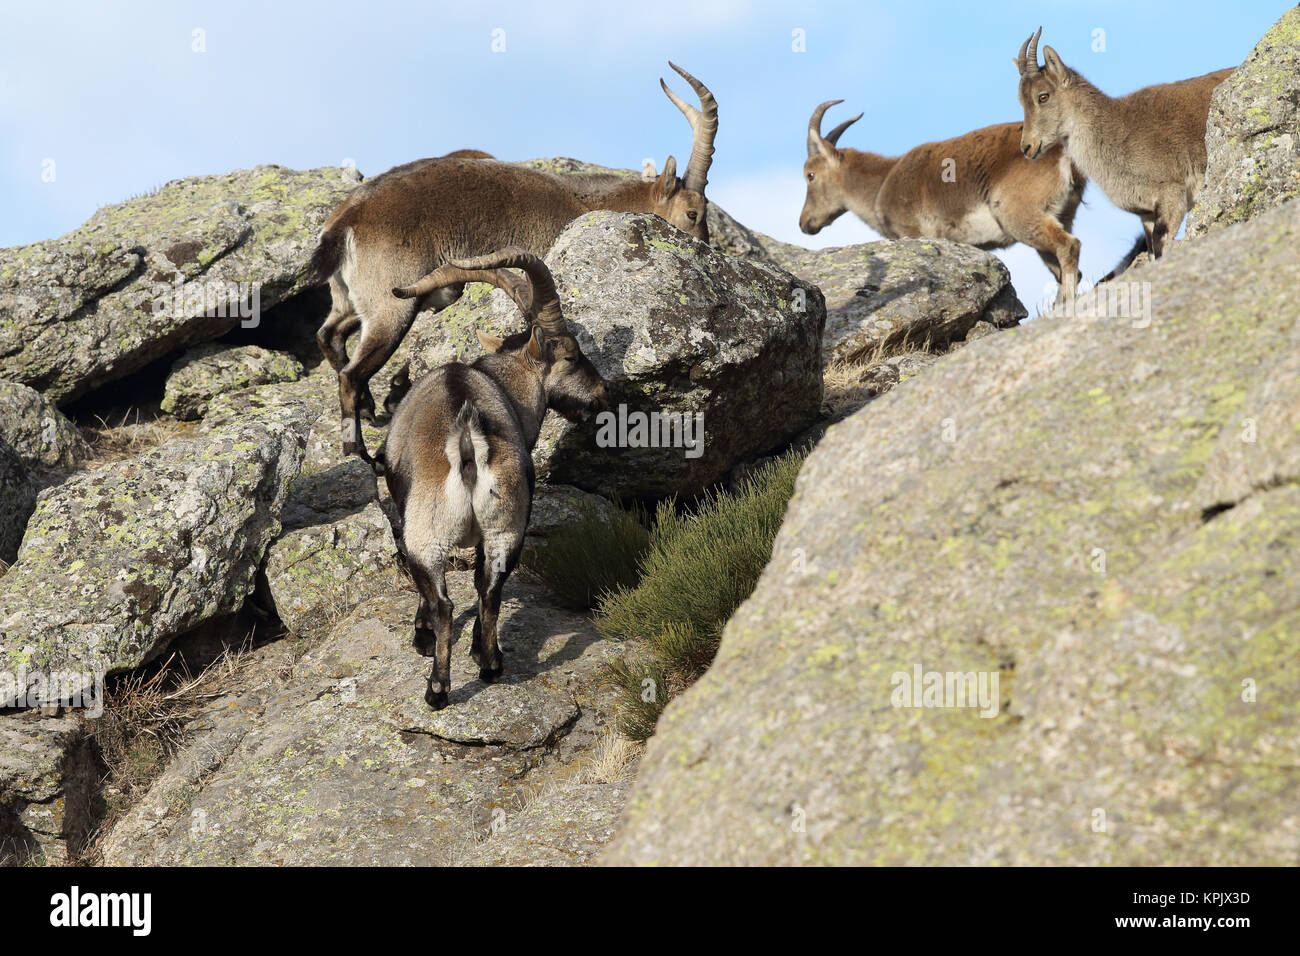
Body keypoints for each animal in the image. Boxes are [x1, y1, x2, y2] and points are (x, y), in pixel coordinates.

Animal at [308, 62, 716, 463]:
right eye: (693, 213)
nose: (708, 250)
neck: (584, 202)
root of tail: (347, 219)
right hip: (391, 307)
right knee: (351, 373)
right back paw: (357, 450)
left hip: (352, 299)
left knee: (329, 335)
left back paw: (369, 409)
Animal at [379, 248, 609, 709]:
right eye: (572, 356)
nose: (602, 393)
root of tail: (468, 439)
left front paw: (422, 638)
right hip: (507, 524)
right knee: (490, 589)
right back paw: (490, 664)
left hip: (427, 535)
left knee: (445, 604)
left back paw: (437, 689)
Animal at [800, 101, 1085, 302]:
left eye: (810, 175)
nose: (805, 223)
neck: (882, 182)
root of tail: (1064, 154)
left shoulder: (914, 232)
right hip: (1061, 216)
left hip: (1020, 215)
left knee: (1069, 246)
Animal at [1016, 28, 1232, 259]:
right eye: (1021, 101)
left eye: (1043, 96)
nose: (1027, 147)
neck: (1117, 130)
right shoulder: (1146, 214)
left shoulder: (1172, 193)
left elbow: (1161, 244)